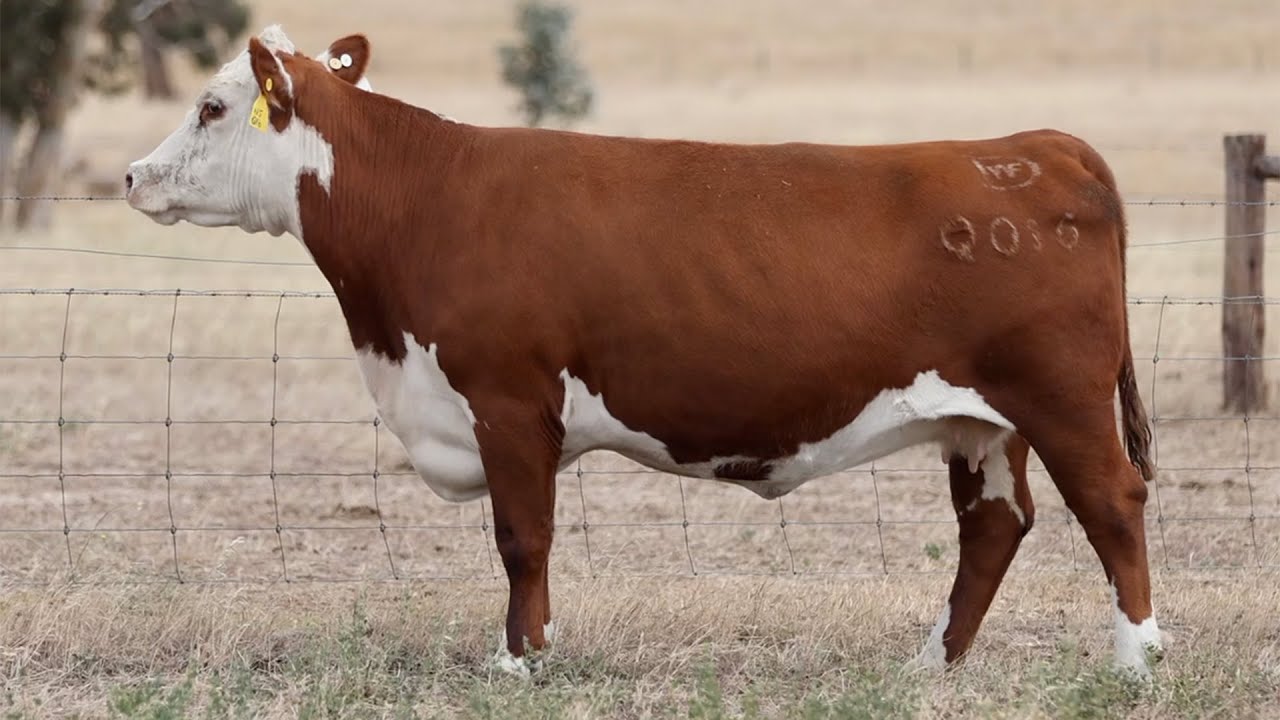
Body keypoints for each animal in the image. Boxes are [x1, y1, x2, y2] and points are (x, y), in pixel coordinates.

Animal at [125, 26, 1164, 678]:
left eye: (213, 107)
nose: (133, 175)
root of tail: (1034, 144)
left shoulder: (508, 401)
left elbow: (522, 538)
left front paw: (518, 659)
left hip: (1060, 398)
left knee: (1111, 504)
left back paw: (1137, 661)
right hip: (981, 422)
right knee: (994, 527)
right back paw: (931, 664)